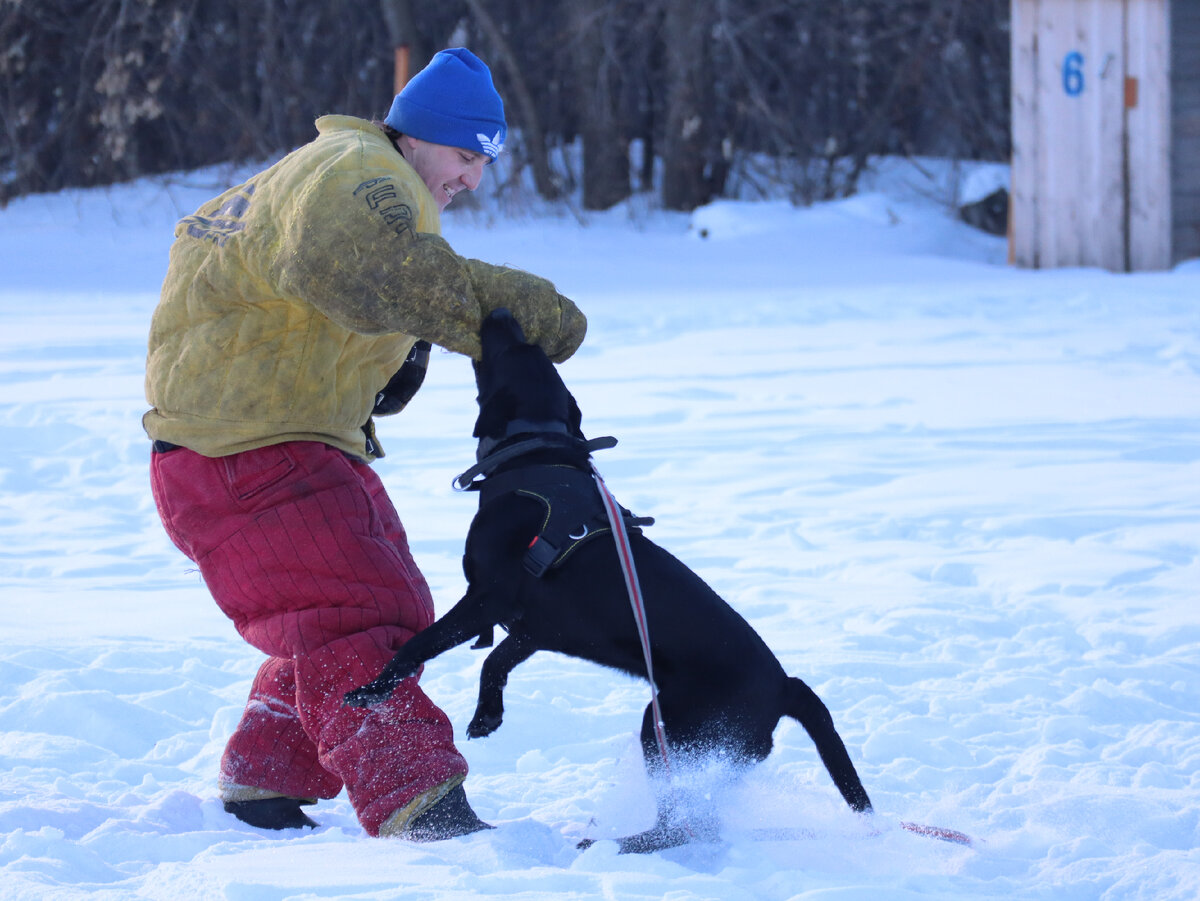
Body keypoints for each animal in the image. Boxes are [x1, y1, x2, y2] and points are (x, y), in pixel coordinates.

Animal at [348, 309, 873, 854]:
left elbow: (419, 645)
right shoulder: (535, 627)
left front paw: (369, 692)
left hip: (669, 730)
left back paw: (618, 844)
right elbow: (496, 659)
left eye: (507, 350)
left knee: (682, 824)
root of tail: (785, 686)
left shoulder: (486, 599)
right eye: (524, 345)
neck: (534, 455)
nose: (500, 314)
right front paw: (486, 715)